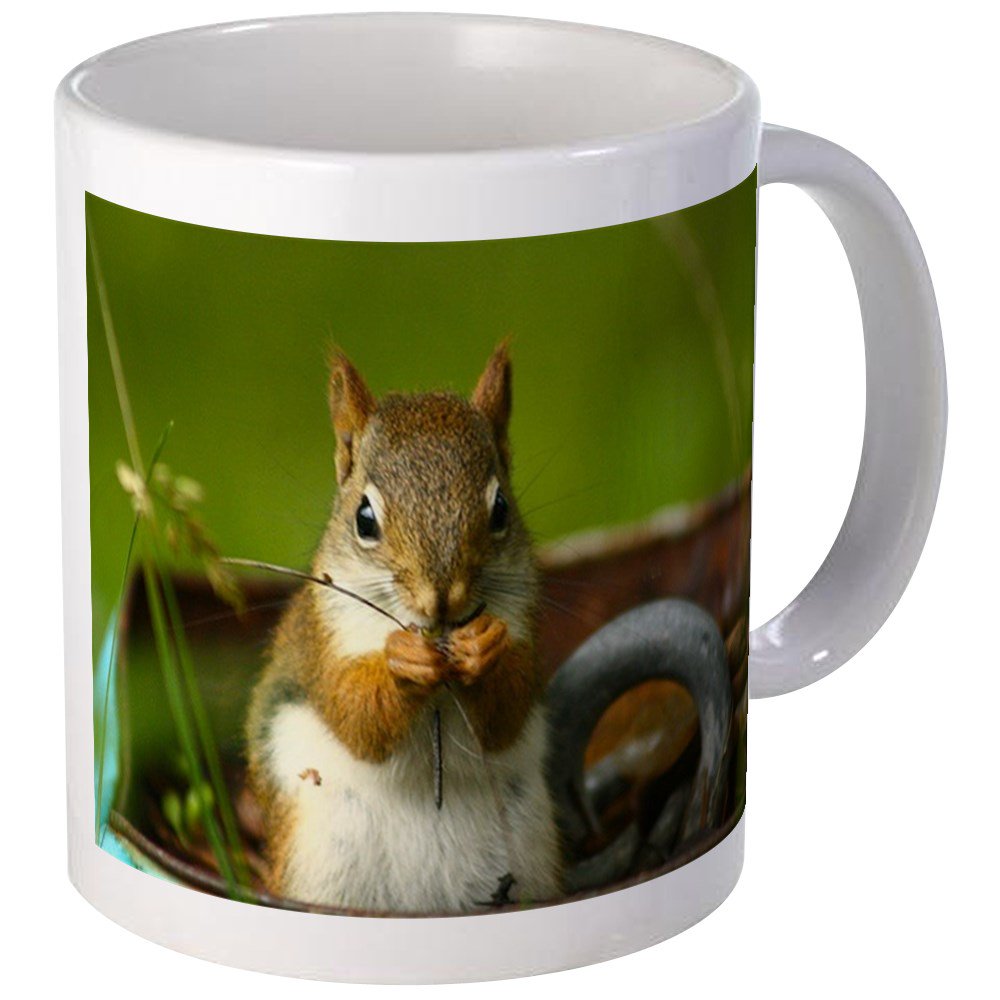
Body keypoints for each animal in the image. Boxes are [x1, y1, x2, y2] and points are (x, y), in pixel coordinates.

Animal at [245, 342, 561, 913]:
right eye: (364, 519)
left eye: (501, 509)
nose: (442, 598)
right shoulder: (324, 642)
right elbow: (355, 713)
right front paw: (403, 663)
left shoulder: (525, 627)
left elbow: (506, 714)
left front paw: (484, 649)